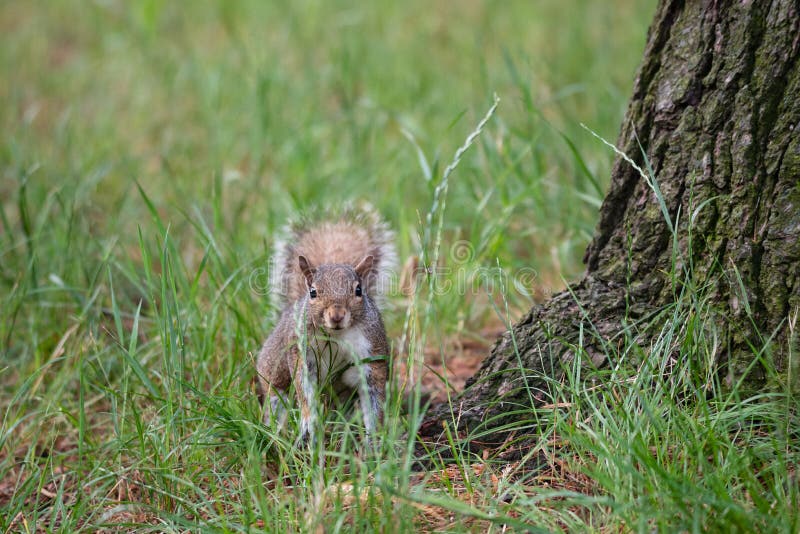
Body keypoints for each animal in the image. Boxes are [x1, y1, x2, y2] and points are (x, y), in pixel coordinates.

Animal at [256, 206, 397, 443]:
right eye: (313, 292)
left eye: (358, 290)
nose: (336, 315)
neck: (336, 335)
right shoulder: (301, 352)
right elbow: (304, 388)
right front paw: (308, 421)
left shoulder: (371, 352)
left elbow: (374, 397)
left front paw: (375, 438)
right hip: (274, 374)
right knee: (277, 403)